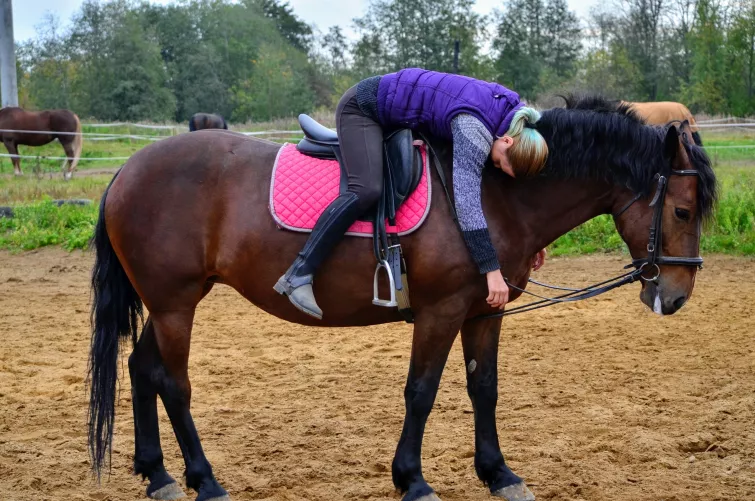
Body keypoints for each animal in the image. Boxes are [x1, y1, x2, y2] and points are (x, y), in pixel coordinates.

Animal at [87, 96, 716, 501]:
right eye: (683, 211)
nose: (677, 296)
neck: (492, 193)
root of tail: (126, 172)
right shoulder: (440, 312)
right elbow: (422, 392)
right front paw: (412, 479)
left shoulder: (485, 311)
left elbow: (484, 389)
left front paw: (499, 474)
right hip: (176, 304)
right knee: (173, 383)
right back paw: (205, 480)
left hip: (169, 302)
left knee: (140, 369)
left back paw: (159, 476)